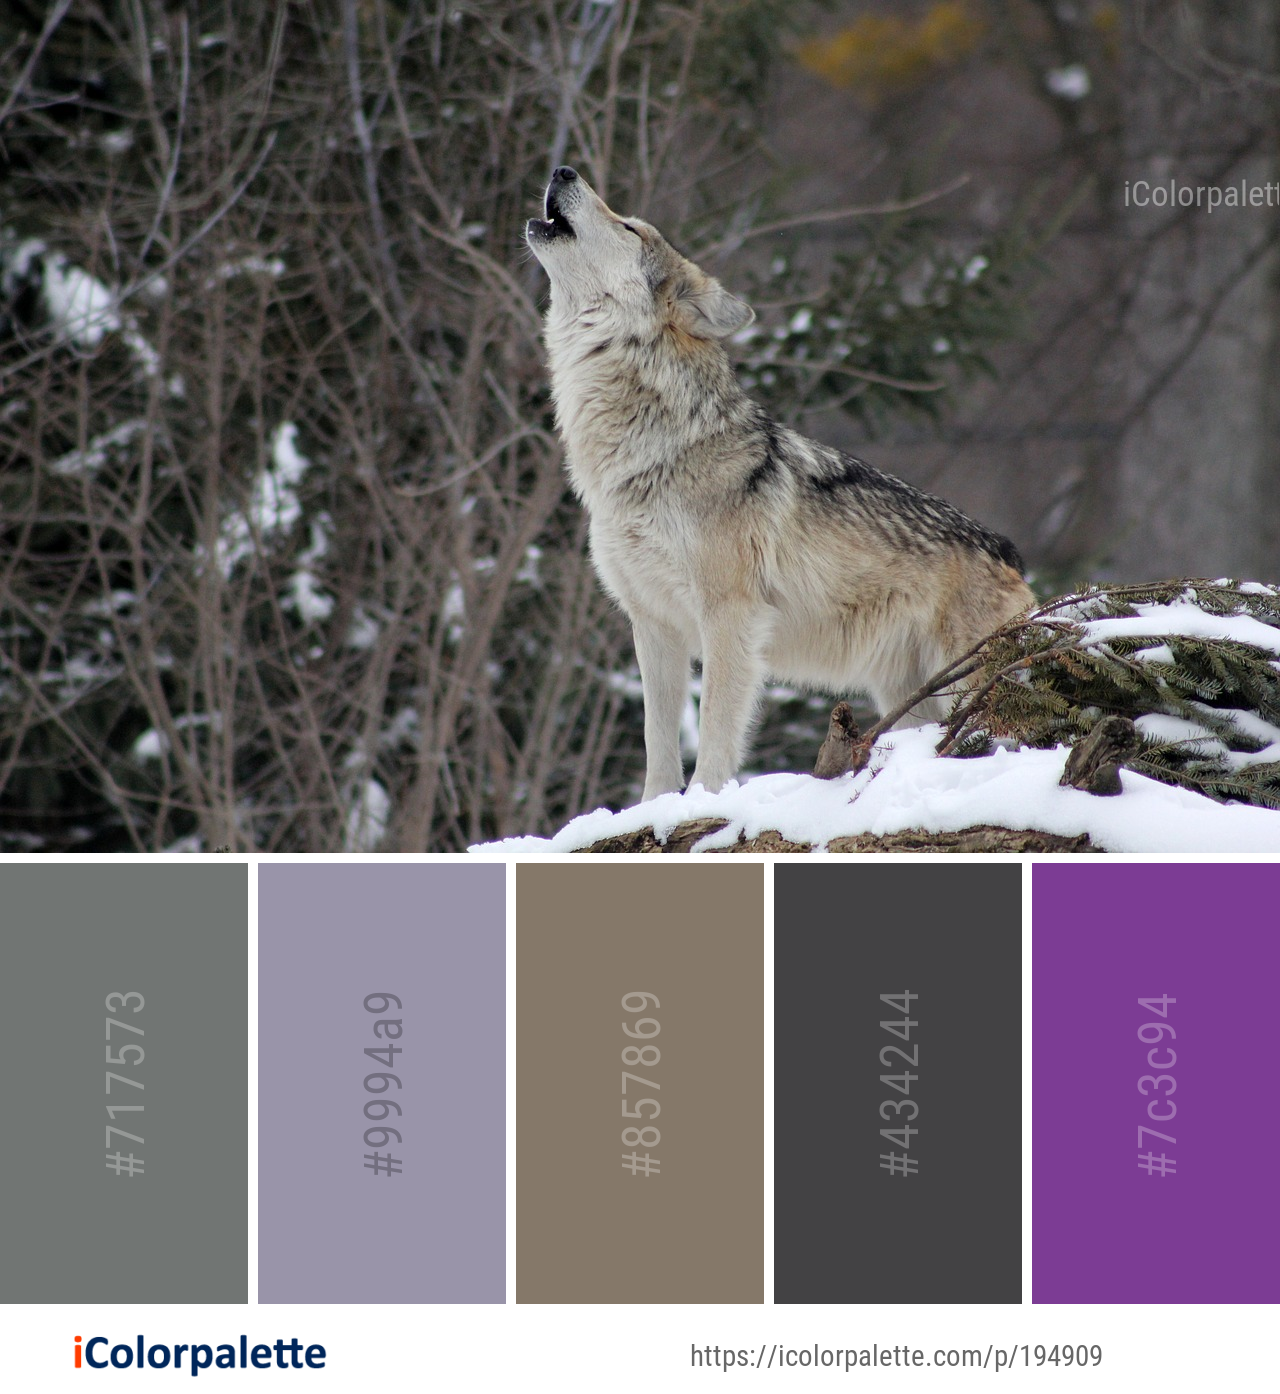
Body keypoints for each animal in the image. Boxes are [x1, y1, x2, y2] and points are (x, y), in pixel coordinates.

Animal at [527, 166, 1034, 801]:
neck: (651, 452)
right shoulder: (653, 624)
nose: (562, 170)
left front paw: (703, 803)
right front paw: (653, 810)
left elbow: (715, 730)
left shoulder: (730, 617)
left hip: (968, 685)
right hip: (909, 697)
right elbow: (657, 743)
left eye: (629, 227)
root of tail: (1010, 553)